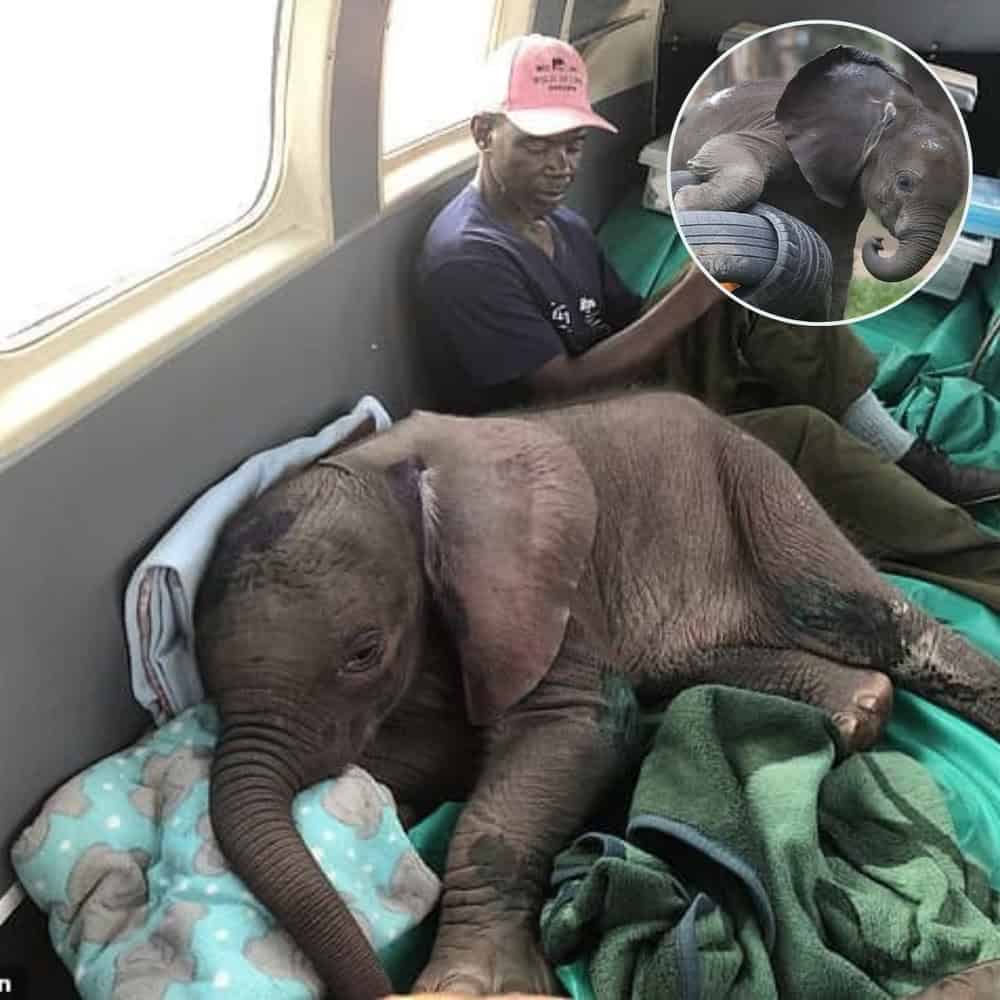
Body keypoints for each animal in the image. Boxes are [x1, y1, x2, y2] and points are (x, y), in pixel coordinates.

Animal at [194, 389, 1000, 998]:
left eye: (363, 653)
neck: (381, 466)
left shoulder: (542, 595)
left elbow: (576, 728)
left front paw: (471, 988)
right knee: (693, 667)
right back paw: (857, 709)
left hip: (763, 494)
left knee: (877, 621)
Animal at [671, 45, 969, 319]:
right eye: (904, 183)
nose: (879, 242)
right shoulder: (783, 132)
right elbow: (724, 149)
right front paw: (684, 199)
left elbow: (837, 257)